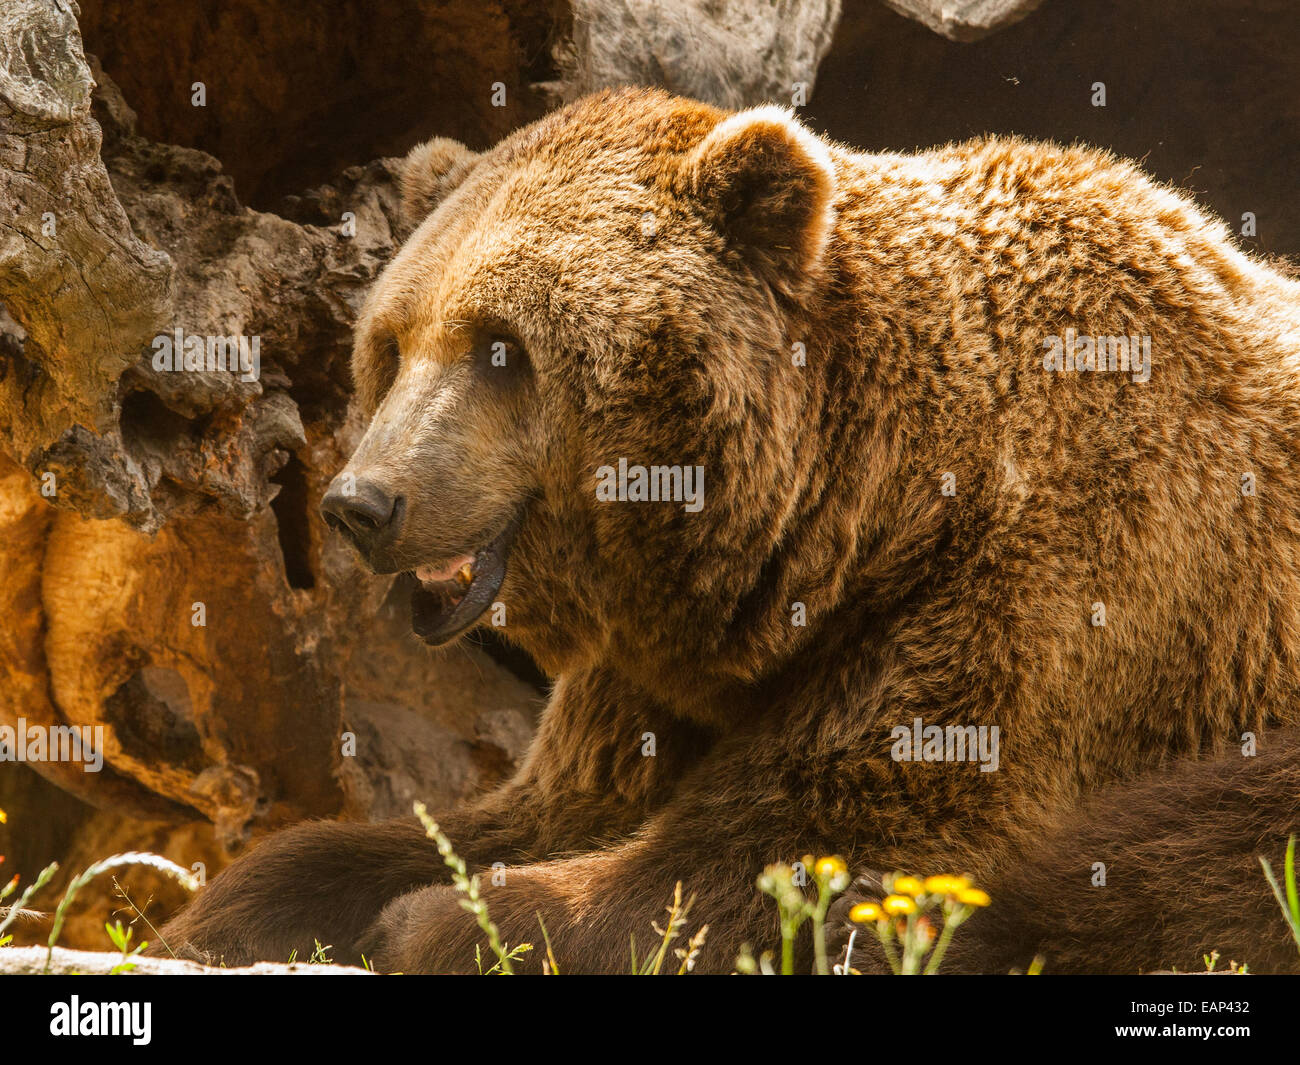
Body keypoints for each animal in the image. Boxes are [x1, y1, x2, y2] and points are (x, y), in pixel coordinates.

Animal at [159, 86, 1300, 974]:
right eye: (392, 345)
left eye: (500, 346)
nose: (361, 502)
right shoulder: (655, 669)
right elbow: (518, 812)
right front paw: (234, 908)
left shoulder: (1045, 581)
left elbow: (825, 839)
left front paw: (441, 922)